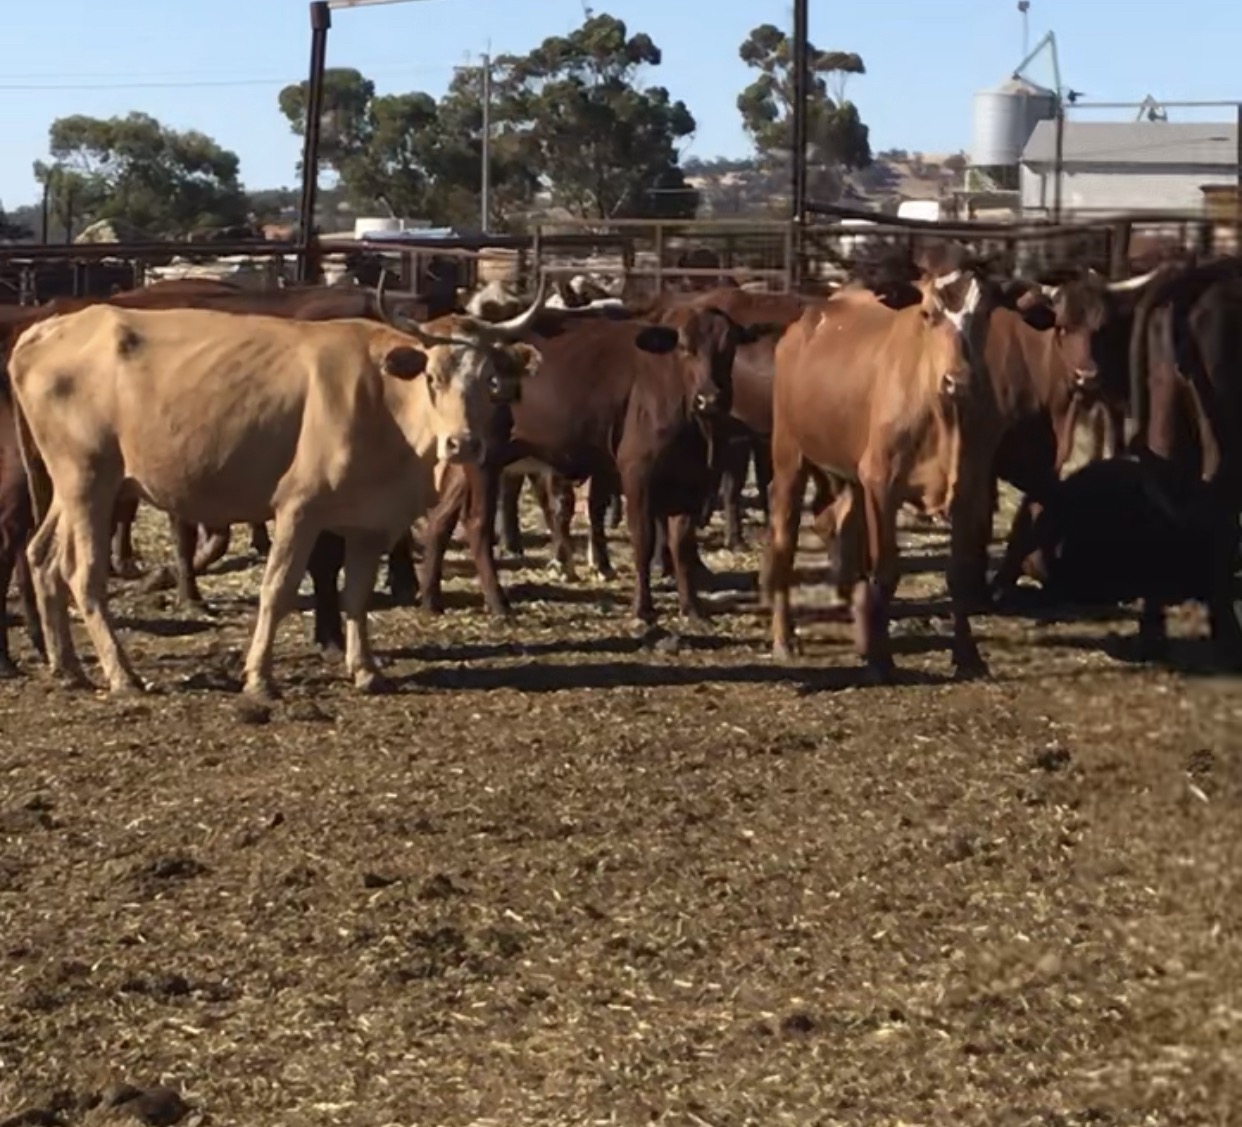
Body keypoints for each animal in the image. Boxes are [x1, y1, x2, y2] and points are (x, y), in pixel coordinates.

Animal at [9, 301, 540, 698]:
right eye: (432, 378)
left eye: (489, 381)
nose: (462, 444)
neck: (384, 401)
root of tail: (46, 331)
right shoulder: (298, 508)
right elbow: (277, 589)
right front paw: (259, 677)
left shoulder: (371, 523)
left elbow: (356, 595)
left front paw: (366, 670)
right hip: (87, 481)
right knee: (83, 574)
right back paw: (122, 675)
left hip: (77, 486)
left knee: (43, 557)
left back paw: (68, 667)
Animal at [763, 272, 989, 681]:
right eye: (929, 314)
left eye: (982, 316)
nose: (959, 381)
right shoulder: (882, 483)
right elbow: (885, 571)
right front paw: (882, 659)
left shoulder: (970, 489)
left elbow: (960, 576)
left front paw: (968, 655)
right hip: (789, 453)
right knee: (784, 541)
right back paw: (785, 639)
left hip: (852, 477)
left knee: (837, 526)